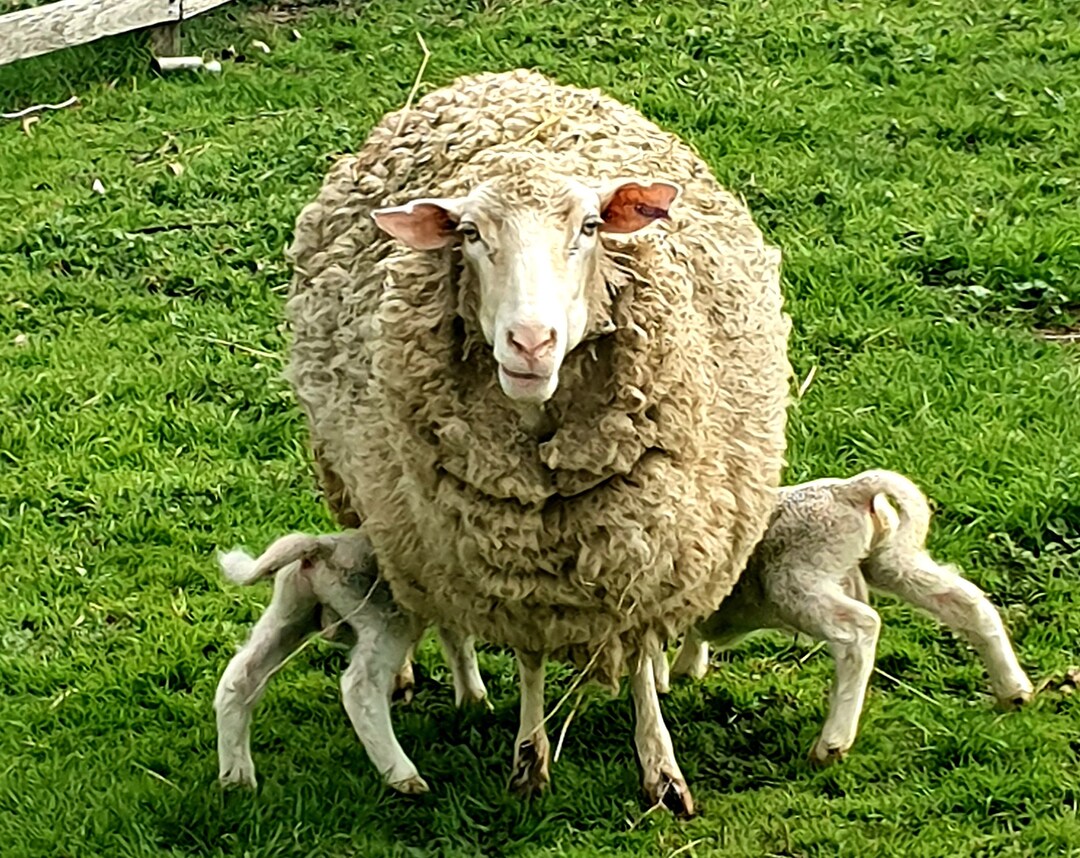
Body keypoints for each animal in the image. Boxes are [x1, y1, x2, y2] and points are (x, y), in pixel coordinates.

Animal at [213, 530, 486, 794]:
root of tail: (324, 547)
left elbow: (458, 643)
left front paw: (472, 700)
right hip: (384, 619)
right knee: (360, 688)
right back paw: (403, 775)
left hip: (291, 613)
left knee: (241, 677)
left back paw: (236, 776)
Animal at [285, 68, 792, 814]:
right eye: (469, 233)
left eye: (589, 227)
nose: (530, 342)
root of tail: (491, 78)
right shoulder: (507, 560)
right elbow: (528, 658)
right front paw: (530, 761)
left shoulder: (649, 544)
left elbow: (639, 653)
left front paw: (661, 770)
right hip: (390, 510)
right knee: (432, 607)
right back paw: (447, 683)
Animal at [666, 470, 1035, 764]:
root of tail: (851, 490)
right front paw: (686, 669)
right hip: (887, 561)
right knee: (967, 602)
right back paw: (1013, 690)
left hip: (797, 580)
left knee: (859, 630)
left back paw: (832, 743)